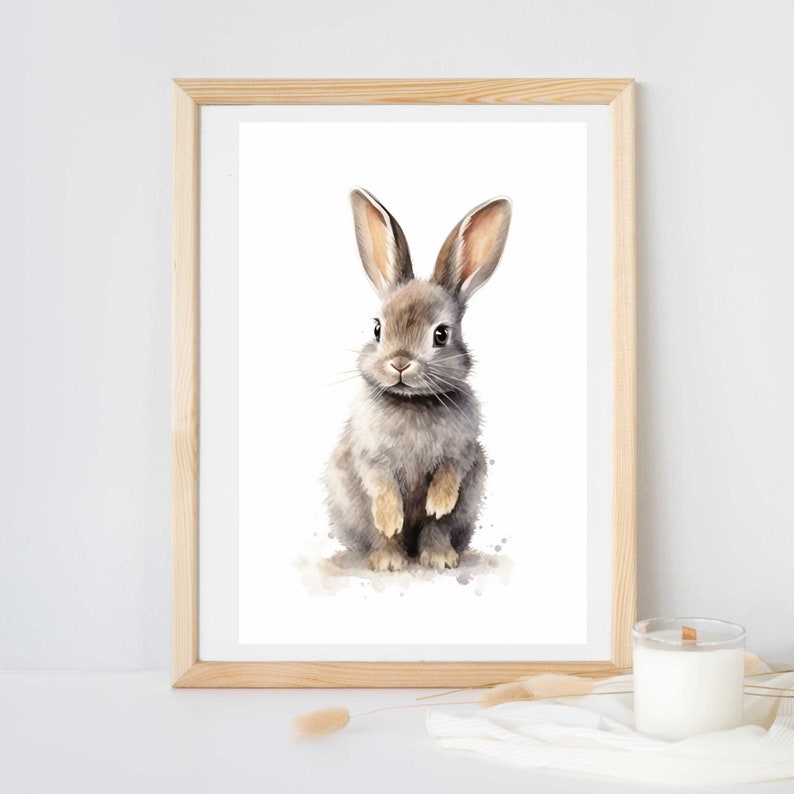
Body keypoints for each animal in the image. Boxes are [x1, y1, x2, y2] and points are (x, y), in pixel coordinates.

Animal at [325, 187, 511, 572]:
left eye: (441, 334)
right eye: (377, 329)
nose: (399, 363)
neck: (411, 402)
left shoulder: (462, 453)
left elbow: (449, 475)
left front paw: (437, 503)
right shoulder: (370, 456)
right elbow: (381, 485)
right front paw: (390, 519)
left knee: (437, 531)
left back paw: (438, 558)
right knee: (381, 538)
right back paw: (388, 561)